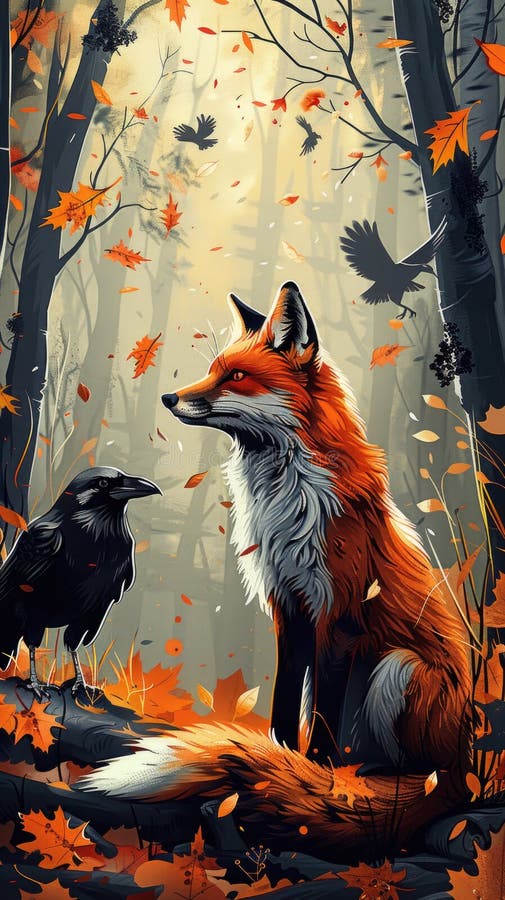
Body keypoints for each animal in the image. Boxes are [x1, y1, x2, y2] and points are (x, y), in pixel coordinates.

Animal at [79, 281, 472, 857]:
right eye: (214, 370)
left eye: (237, 376)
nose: (170, 399)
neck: (287, 500)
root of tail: (469, 767)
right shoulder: (288, 605)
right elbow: (287, 702)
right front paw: (281, 762)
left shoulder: (339, 613)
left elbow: (323, 720)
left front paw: (314, 776)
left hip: (398, 668)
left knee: (413, 775)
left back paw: (368, 787)